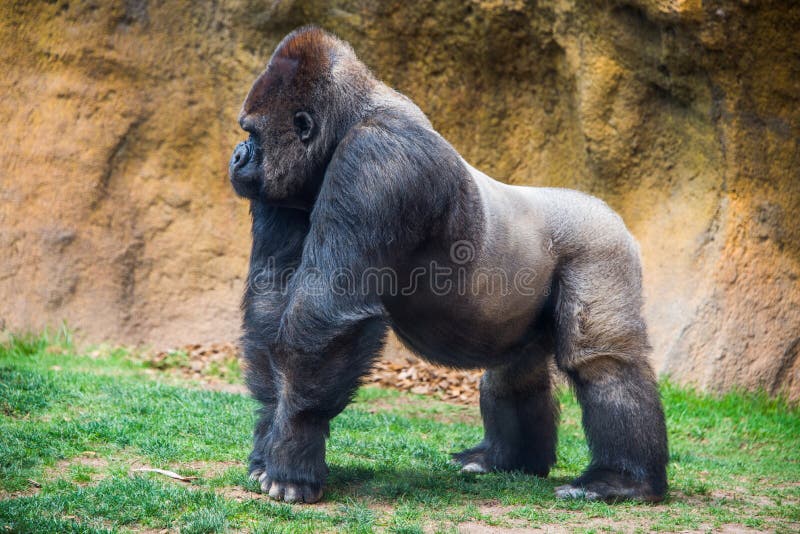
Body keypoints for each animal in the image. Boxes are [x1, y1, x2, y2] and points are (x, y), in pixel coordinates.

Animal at [229, 26, 668, 505]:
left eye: (252, 134)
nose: (237, 155)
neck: (352, 117)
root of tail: (604, 209)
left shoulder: (378, 160)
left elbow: (326, 312)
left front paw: (294, 449)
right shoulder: (284, 189)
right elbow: (272, 301)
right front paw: (269, 439)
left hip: (600, 245)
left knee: (603, 362)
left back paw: (622, 479)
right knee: (515, 370)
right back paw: (508, 459)